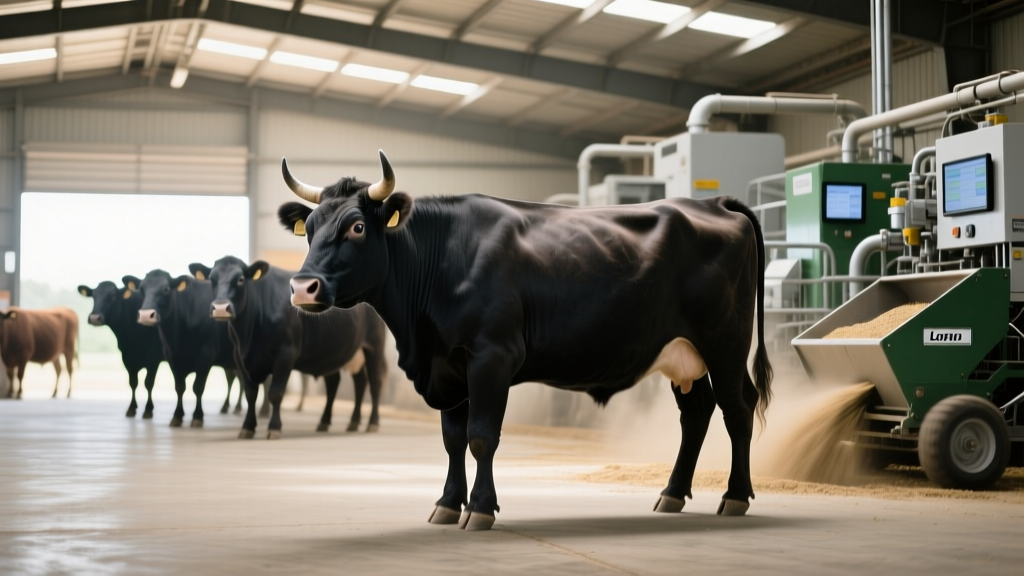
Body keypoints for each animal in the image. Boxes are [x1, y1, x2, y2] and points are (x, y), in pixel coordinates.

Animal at [78, 280, 165, 417]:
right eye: (93, 295)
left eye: (113, 295)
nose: (94, 318)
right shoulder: (127, 357)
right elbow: (133, 383)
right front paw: (131, 408)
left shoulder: (153, 358)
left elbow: (148, 383)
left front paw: (148, 409)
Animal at [127, 270, 239, 428]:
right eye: (142, 290)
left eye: (166, 289)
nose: (145, 315)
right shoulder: (172, 358)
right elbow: (180, 387)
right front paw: (177, 416)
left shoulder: (206, 356)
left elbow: (198, 387)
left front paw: (197, 417)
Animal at [188, 256, 388, 440]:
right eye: (212, 279)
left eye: (241, 279)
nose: (221, 308)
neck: (249, 339)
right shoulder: (240, 358)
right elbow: (251, 394)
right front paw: (247, 427)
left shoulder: (286, 353)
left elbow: (275, 393)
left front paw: (274, 428)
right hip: (338, 353)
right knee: (348, 383)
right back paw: (340, 422)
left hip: (374, 347)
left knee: (374, 384)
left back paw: (372, 423)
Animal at [276, 151, 773, 531]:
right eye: (311, 227)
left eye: (357, 227)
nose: (302, 287)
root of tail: (714, 203)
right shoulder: (448, 366)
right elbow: (452, 439)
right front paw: (447, 504)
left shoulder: (492, 356)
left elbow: (481, 436)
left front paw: (480, 509)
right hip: (683, 354)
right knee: (697, 414)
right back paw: (671, 494)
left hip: (725, 343)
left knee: (737, 410)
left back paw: (735, 497)